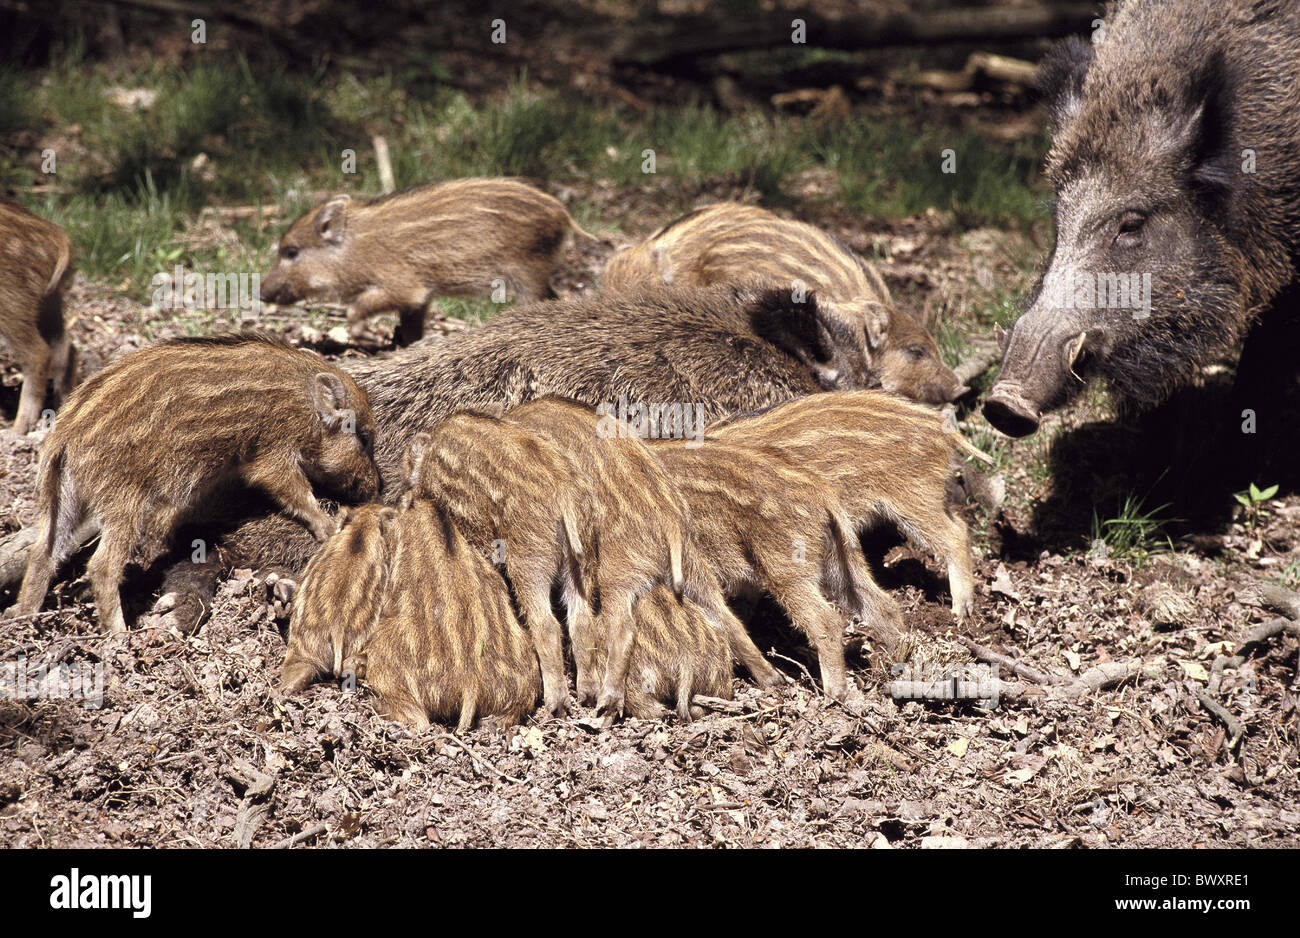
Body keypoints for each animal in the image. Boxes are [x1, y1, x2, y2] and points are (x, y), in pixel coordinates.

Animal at [0, 198, 77, 434]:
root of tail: (55, 233)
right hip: (48, 302)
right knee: (65, 346)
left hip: (13, 301)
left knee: (39, 354)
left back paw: (17, 430)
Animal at [6, 333, 381, 633]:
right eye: (363, 435)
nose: (376, 488)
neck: (305, 403)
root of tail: (64, 435)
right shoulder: (271, 452)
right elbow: (295, 490)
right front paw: (329, 527)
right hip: (123, 496)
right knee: (102, 565)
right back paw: (119, 633)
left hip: (65, 498)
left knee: (43, 553)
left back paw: (22, 617)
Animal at [260, 177, 597, 345]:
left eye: (291, 252)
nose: (260, 293)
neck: (354, 249)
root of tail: (562, 212)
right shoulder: (419, 298)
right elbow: (411, 327)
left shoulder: (403, 284)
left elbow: (358, 308)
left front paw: (367, 337)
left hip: (528, 272)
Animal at [648, 433, 899, 703]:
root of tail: (823, 494)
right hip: (839, 561)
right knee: (883, 605)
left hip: (786, 567)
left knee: (826, 620)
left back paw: (832, 694)